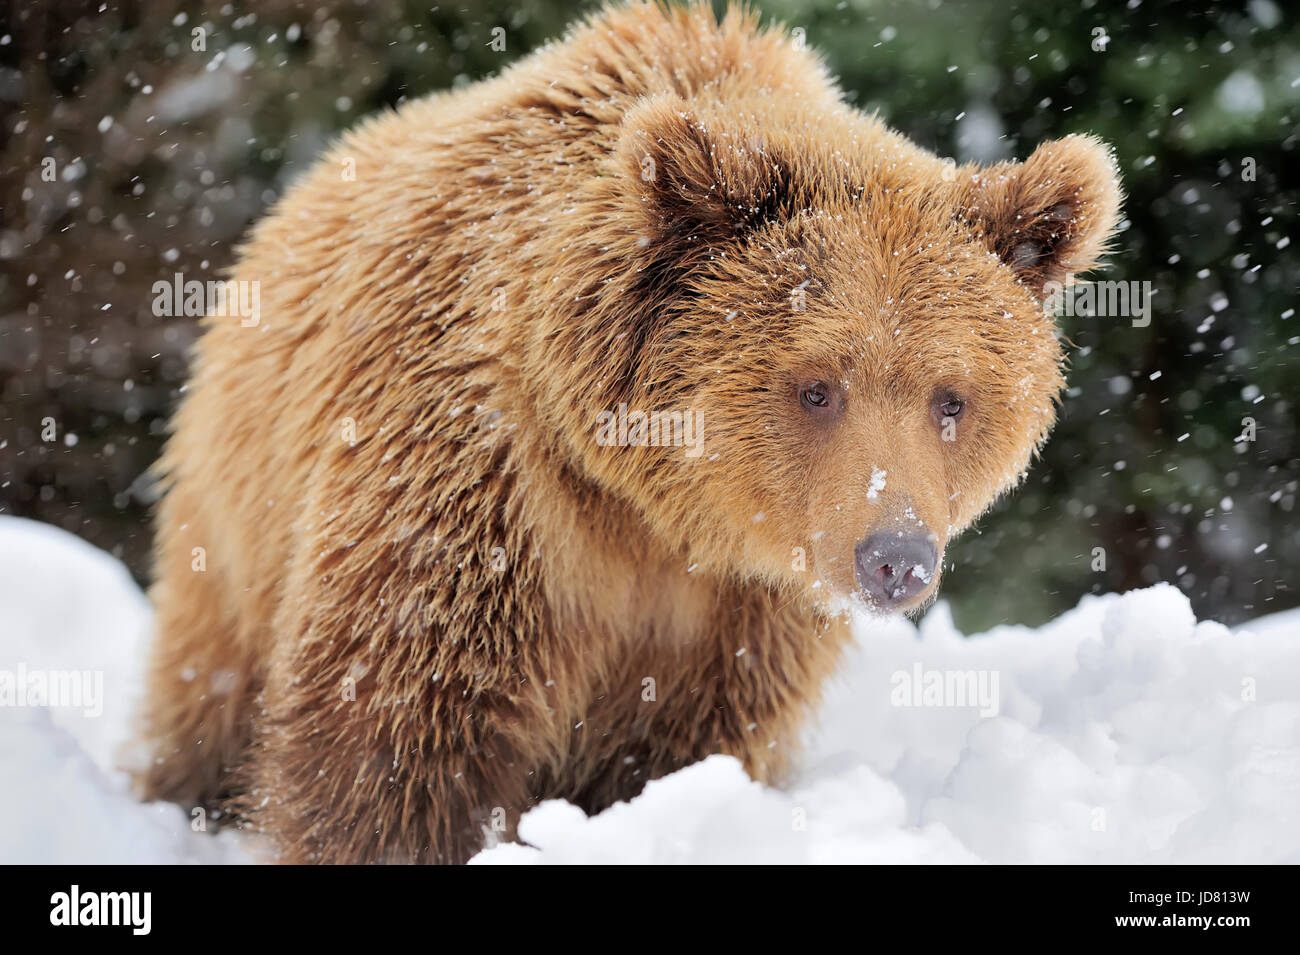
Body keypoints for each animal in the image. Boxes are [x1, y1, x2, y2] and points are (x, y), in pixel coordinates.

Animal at [134, 0, 1122, 863]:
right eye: (816, 386)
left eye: (950, 397)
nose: (895, 556)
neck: (654, 504)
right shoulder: (484, 495)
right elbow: (402, 722)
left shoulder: (738, 615)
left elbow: (678, 751)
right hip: (235, 515)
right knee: (208, 686)